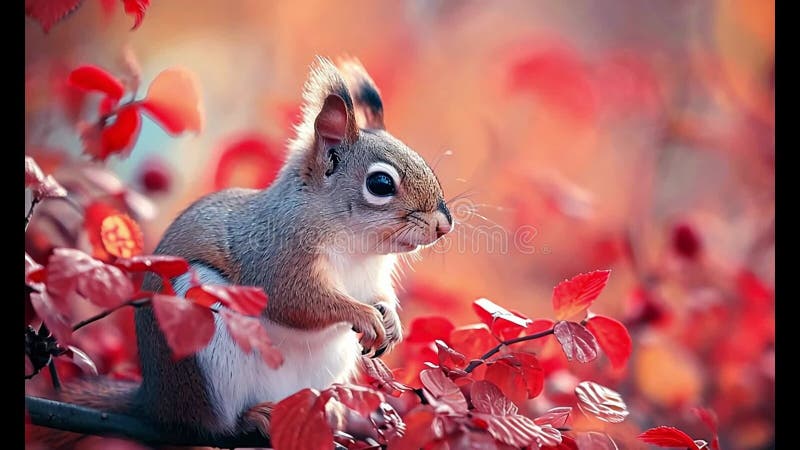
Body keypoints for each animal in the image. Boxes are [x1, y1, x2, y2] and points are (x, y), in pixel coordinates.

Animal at [36, 56, 453, 445]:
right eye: (381, 183)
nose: (443, 225)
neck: (356, 246)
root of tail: (156, 402)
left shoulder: (372, 276)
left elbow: (379, 295)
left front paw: (391, 319)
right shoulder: (276, 254)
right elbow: (296, 301)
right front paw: (362, 314)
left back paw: (328, 418)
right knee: (215, 424)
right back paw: (253, 417)